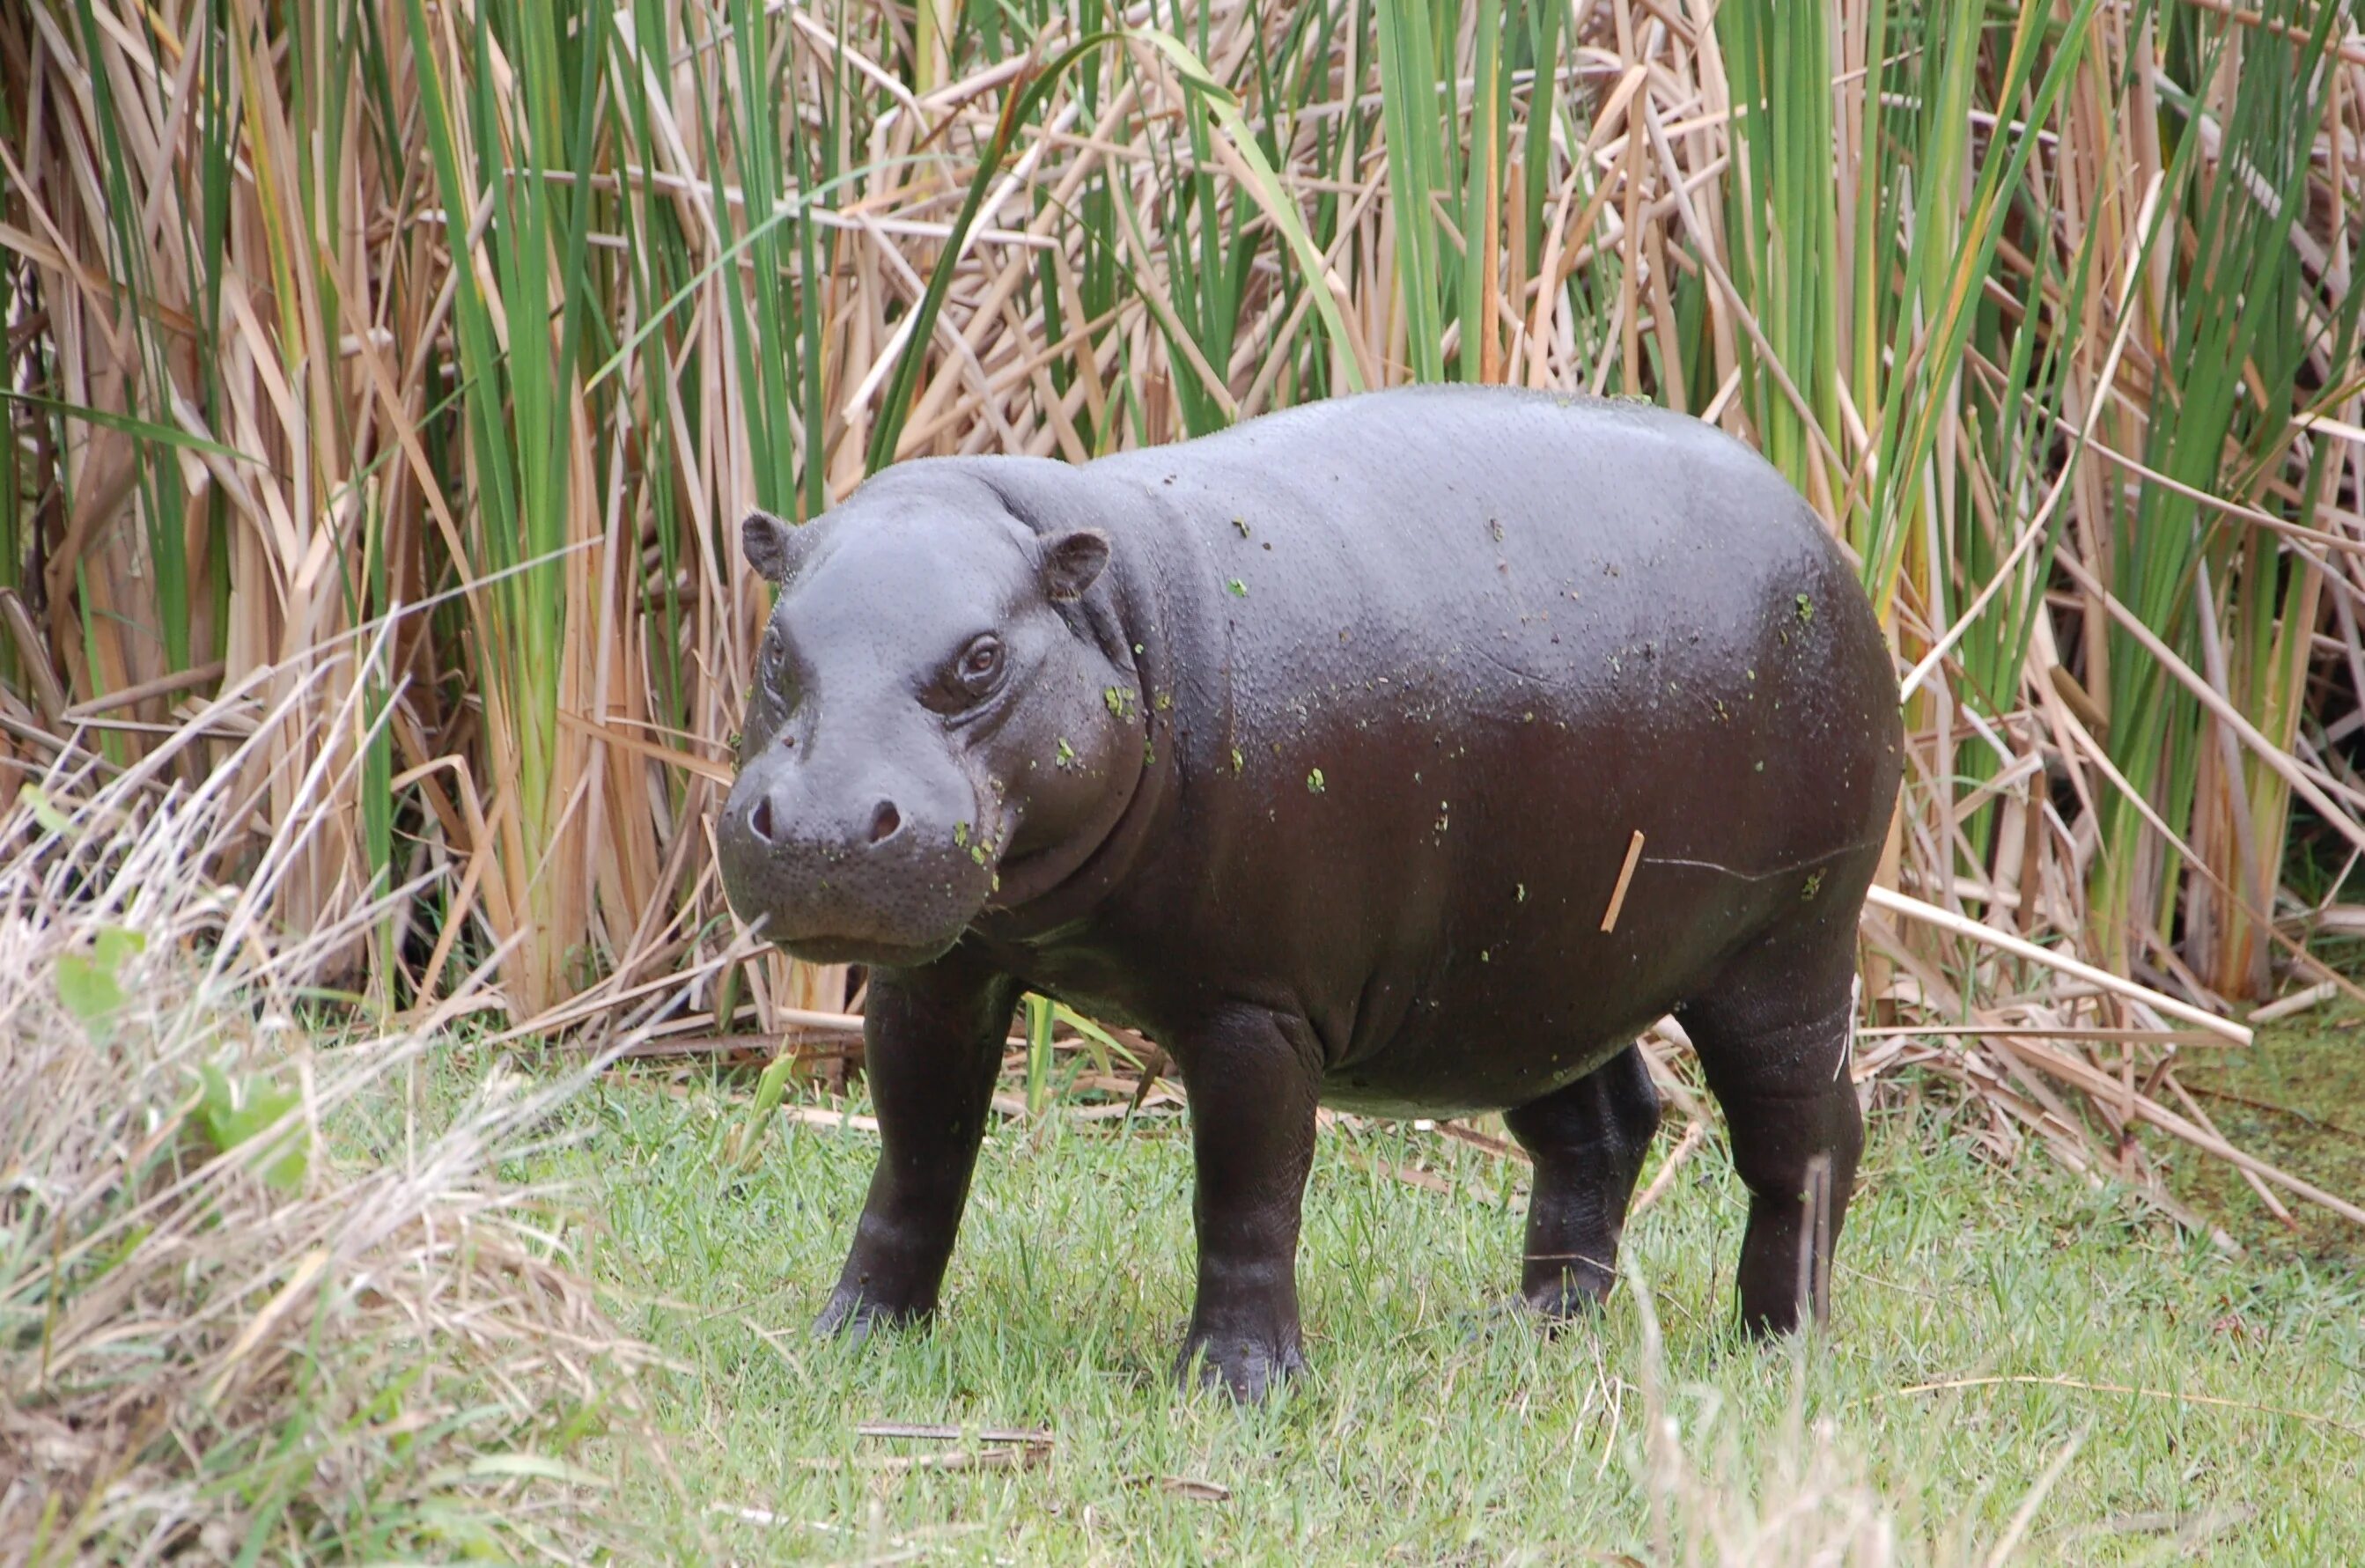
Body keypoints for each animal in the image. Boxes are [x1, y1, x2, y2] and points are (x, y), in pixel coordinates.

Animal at [714, 390, 1901, 1400]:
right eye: (774, 644)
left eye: (981, 657)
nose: (822, 824)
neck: (1117, 617)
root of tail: (1817, 533)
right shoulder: (942, 976)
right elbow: (918, 1158)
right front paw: (855, 1337)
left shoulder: (1255, 1006)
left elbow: (1246, 1192)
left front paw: (1235, 1387)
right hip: (1530, 971)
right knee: (1603, 1125)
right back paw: (1529, 1324)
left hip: (1786, 946)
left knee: (1805, 1137)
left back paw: (1775, 1346)